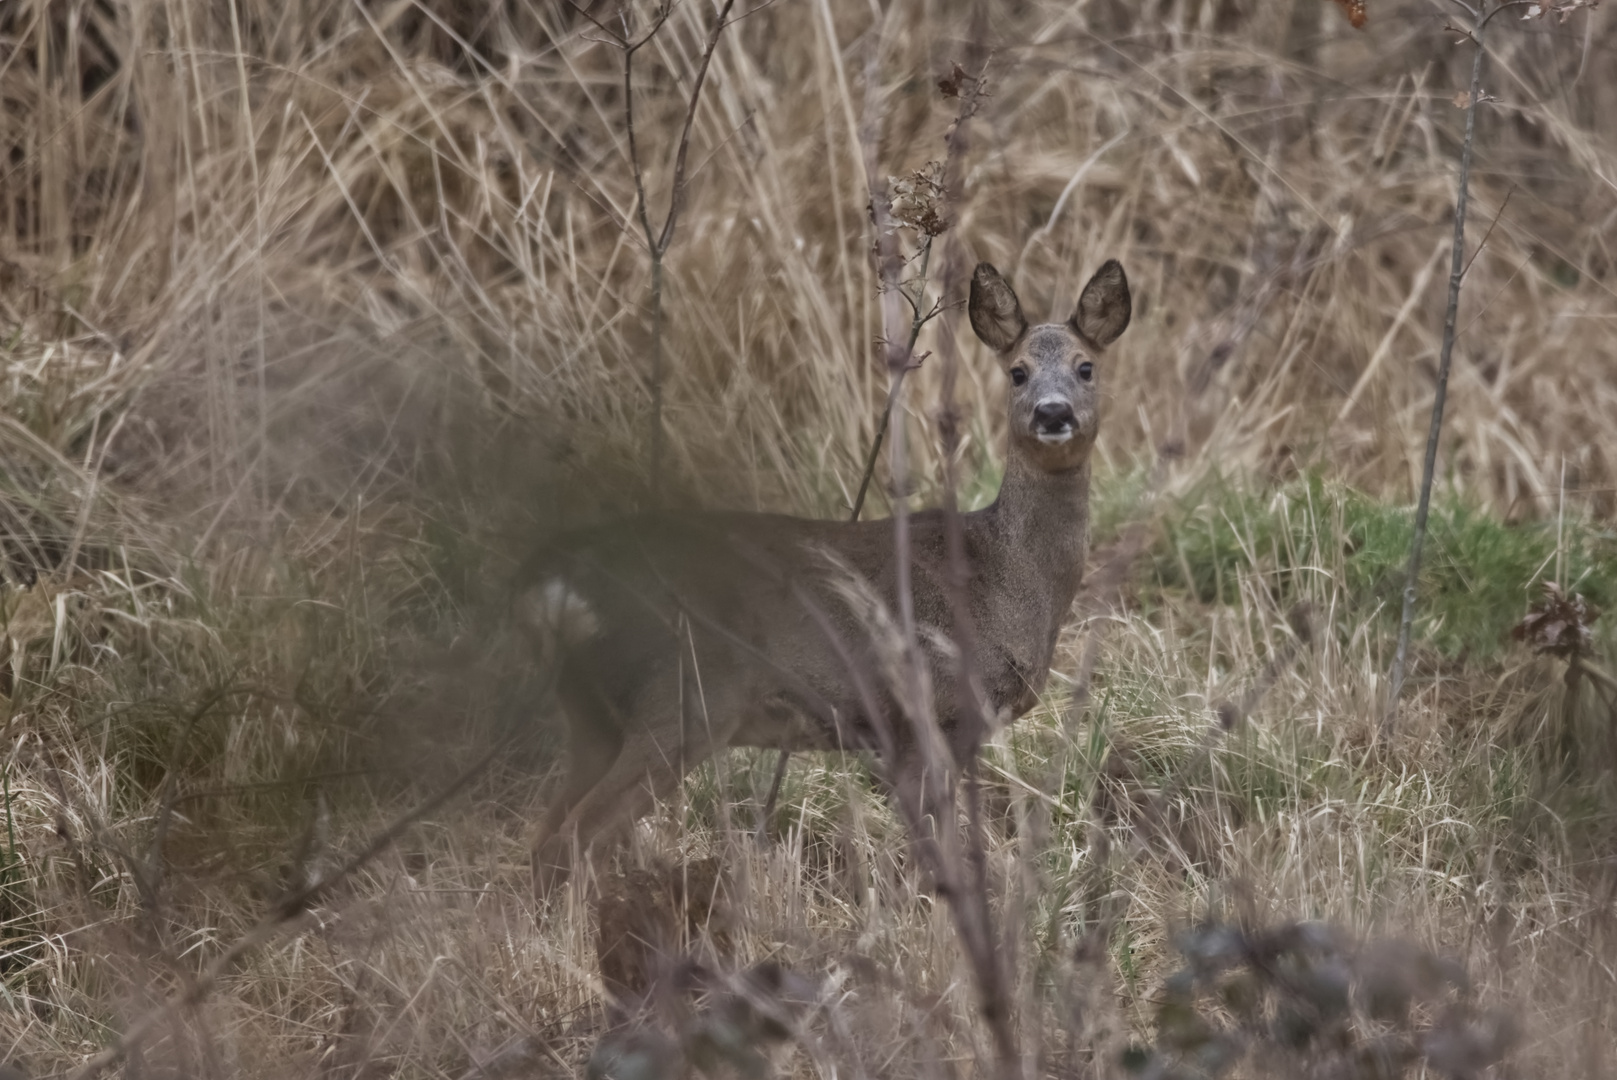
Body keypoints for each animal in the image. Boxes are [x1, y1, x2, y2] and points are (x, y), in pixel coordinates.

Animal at [517, 258, 1131, 896]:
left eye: (1086, 367)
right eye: (1017, 372)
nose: (1053, 413)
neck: (1002, 576)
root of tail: (550, 583)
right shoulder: (926, 711)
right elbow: (931, 852)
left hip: (591, 715)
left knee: (543, 841)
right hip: (681, 697)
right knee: (577, 836)